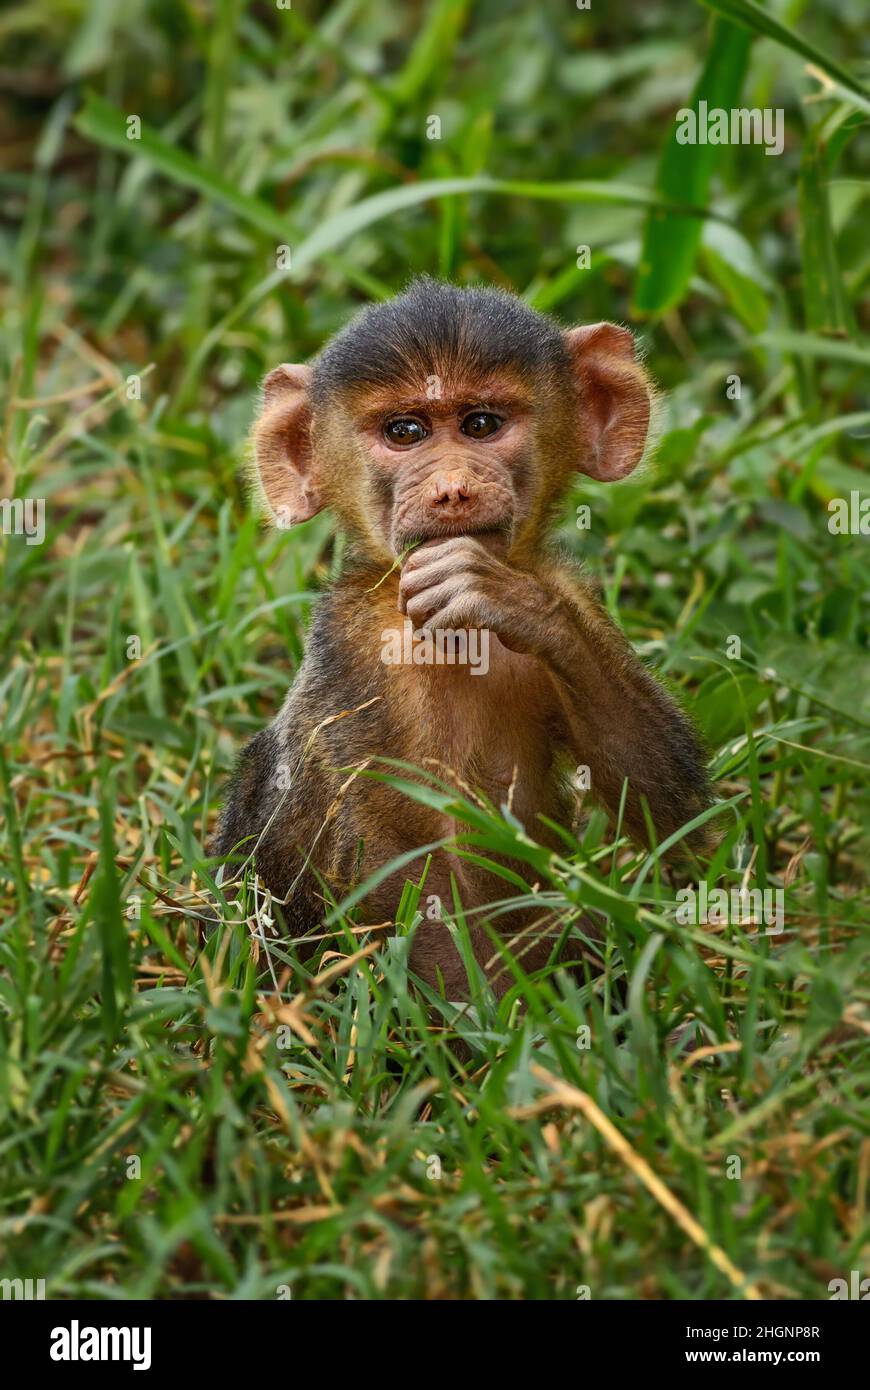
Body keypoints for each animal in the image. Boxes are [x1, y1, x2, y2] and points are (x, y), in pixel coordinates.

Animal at [210, 277, 711, 999]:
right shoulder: (355, 643)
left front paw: (510, 601)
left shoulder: (572, 591)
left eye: (481, 425)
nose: (452, 490)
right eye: (405, 432)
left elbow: (671, 811)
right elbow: (381, 863)